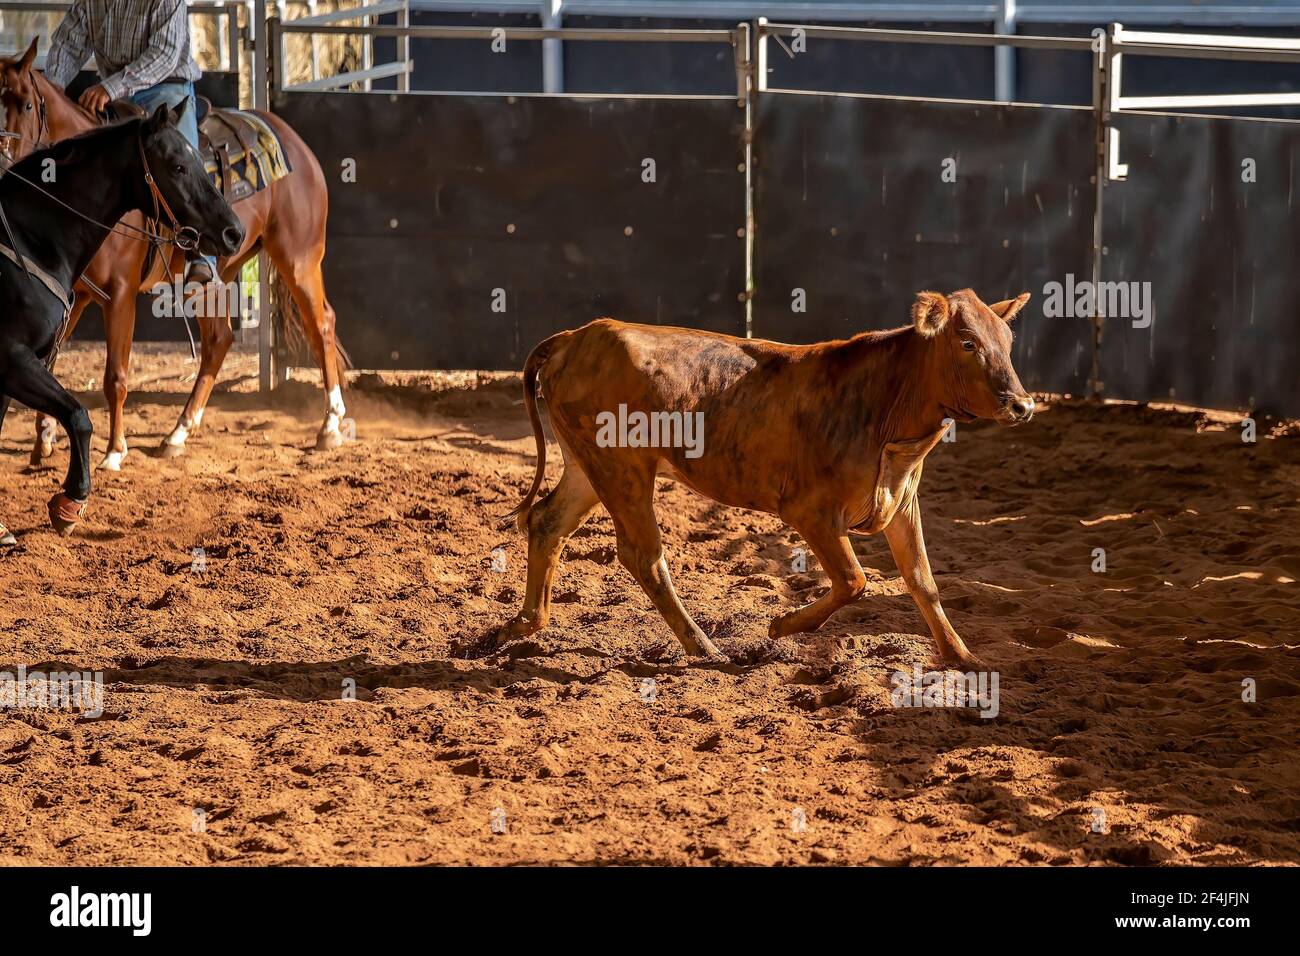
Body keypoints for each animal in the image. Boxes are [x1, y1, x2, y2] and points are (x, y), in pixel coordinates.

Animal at [0, 39, 346, 472]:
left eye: (28, 104)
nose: (3, 156)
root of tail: (289, 138)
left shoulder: (119, 294)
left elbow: (115, 375)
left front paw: (115, 451)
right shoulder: (75, 293)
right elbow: (49, 360)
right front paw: (44, 438)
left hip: (299, 258)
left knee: (322, 324)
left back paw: (331, 424)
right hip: (218, 275)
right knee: (219, 340)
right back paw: (178, 432)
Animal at [0, 102, 243, 544]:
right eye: (177, 166)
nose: (235, 232)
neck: (27, 237)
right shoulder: (12, 358)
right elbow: (80, 415)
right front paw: (70, 501)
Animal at [498, 288, 1035, 668]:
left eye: (1008, 343)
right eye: (967, 342)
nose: (1023, 405)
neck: (885, 402)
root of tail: (575, 336)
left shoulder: (903, 503)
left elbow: (922, 581)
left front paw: (963, 656)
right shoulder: (810, 510)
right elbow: (854, 580)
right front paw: (782, 626)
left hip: (588, 466)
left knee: (546, 522)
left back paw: (522, 624)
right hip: (622, 468)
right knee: (642, 555)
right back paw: (704, 647)